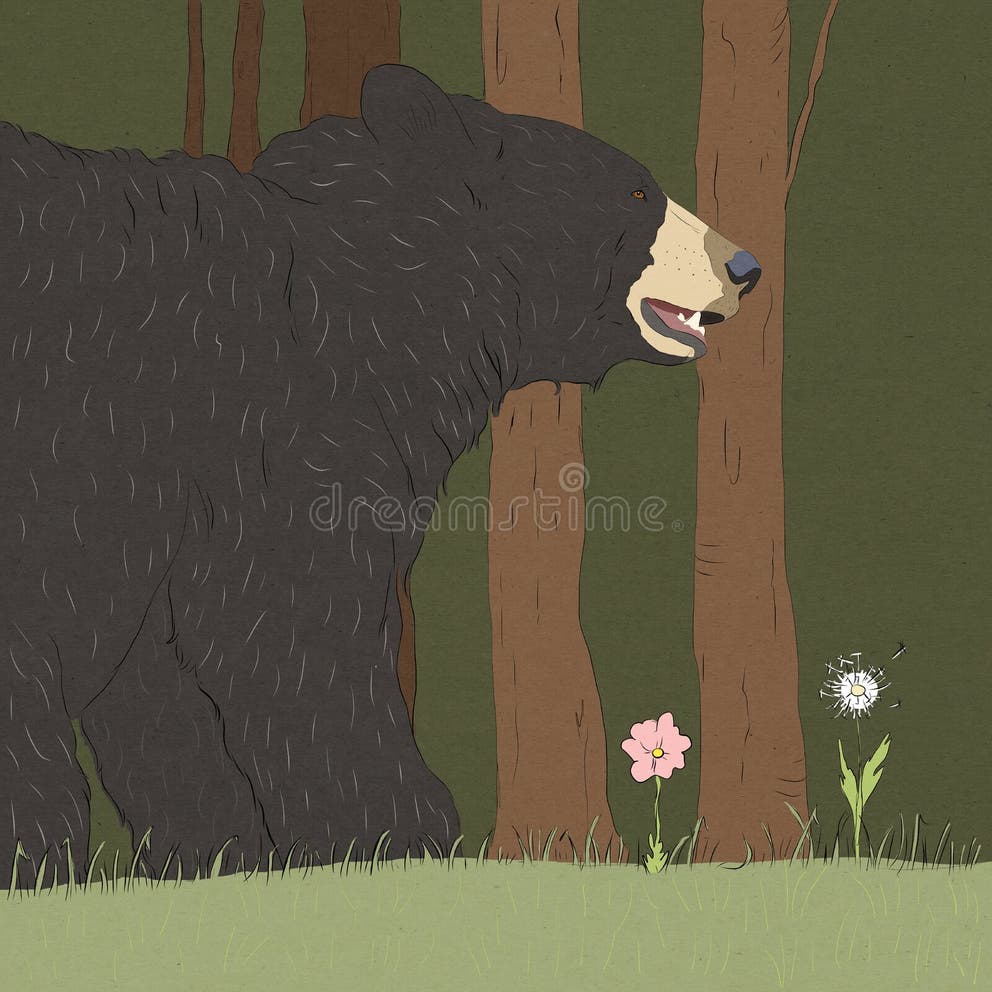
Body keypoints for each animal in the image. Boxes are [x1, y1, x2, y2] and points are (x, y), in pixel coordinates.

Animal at [0, 65, 760, 885]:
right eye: (636, 191)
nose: (745, 268)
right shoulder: (258, 431)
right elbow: (298, 619)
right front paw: (398, 832)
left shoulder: (169, 498)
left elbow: (162, 671)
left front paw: (219, 849)